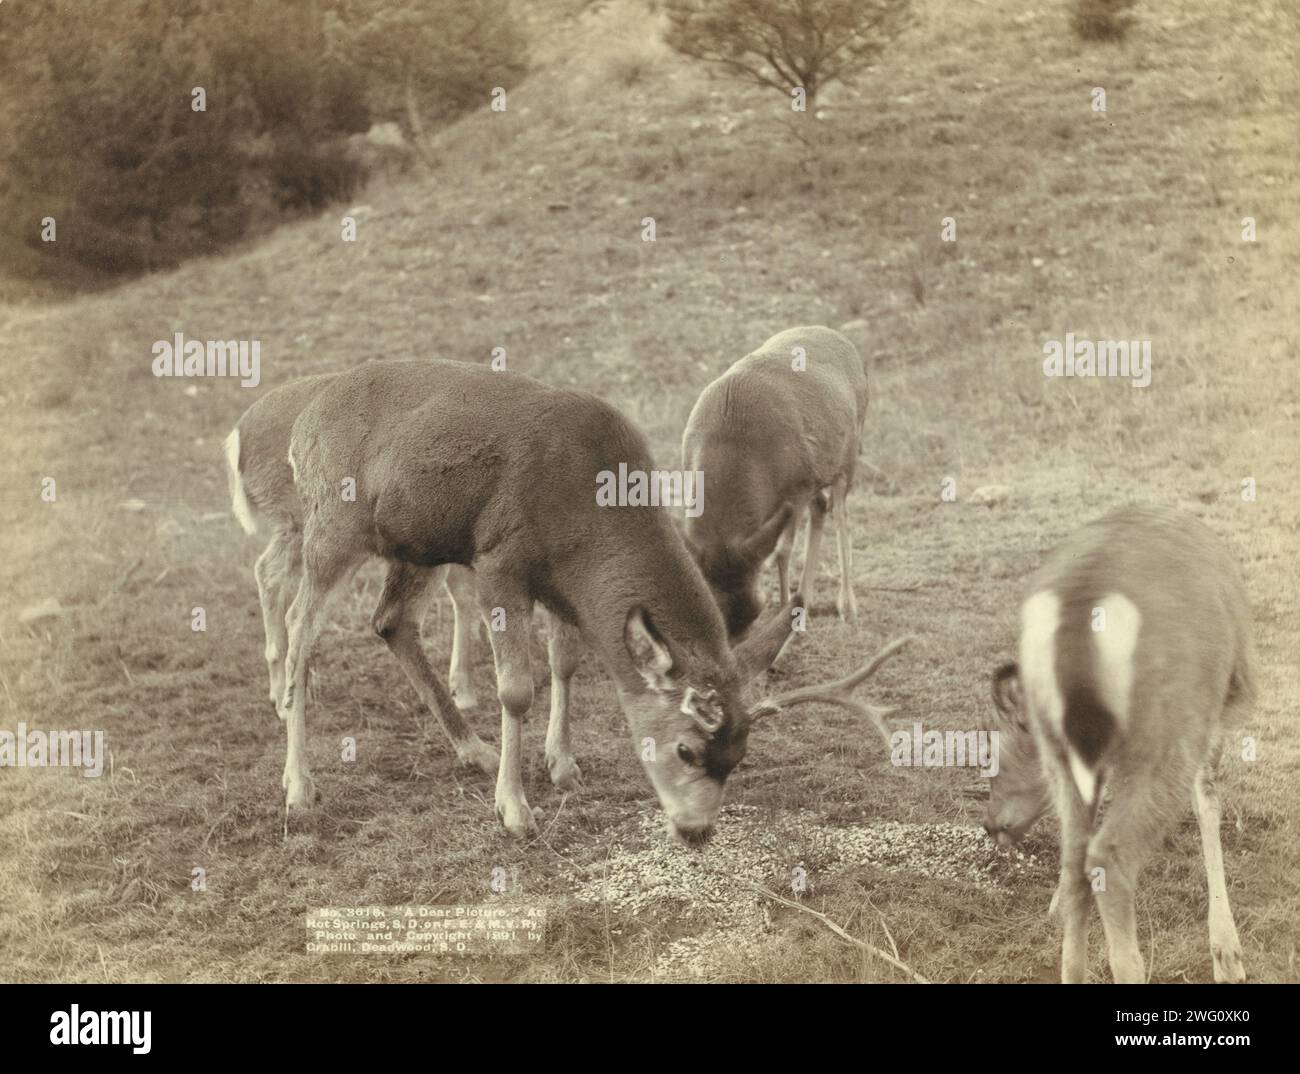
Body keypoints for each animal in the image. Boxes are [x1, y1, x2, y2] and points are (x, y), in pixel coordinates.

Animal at [224, 373, 500, 779]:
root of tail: (235, 439)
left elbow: (462, 591)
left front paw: (463, 690)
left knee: (267, 571)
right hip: (306, 521)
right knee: (274, 578)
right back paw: (284, 703)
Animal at [277, 358, 910, 839]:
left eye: (739, 756)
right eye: (685, 749)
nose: (697, 831)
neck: (587, 514)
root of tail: (301, 423)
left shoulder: (563, 586)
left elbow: (567, 662)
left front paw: (562, 765)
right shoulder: (500, 561)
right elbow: (516, 690)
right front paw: (515, 809)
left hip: (414, 545)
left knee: (390, 621)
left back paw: (473, 750)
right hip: (334, 525)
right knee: (299, 628)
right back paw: (299, 784)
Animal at [681, 325, 869, 638]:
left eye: (756, 609)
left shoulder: (798, 485)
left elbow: (782, 551)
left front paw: (786, 617)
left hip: (849, 451)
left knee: (841, 514)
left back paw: (847, 608)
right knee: (821, 507)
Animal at [983, 504, 1255, 983]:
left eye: (993, 750)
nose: (989, 823)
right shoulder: (1206, 718)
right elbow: (1208, 802)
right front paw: (1227, 955)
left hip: (1068, 754)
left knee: (1075, 858)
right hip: (1165, 734)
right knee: (1109, 855)